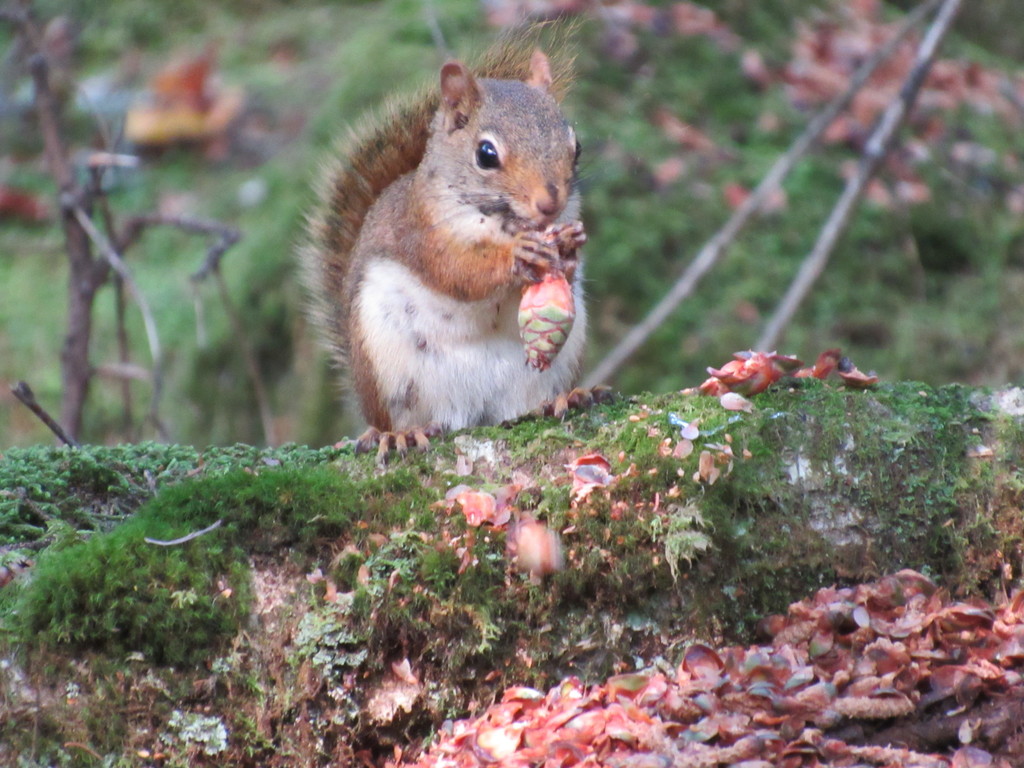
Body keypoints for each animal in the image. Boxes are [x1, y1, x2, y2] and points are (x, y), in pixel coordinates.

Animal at [301, 40, 606, 456]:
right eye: (486, 154)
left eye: (576, 147)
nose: (550, 204)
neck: (502, 225)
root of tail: (473, 413)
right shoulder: (423, 234)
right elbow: (458, 273)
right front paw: (517, 257)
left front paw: (570, 246)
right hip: (386, 368)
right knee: (397, 418)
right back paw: (400, 434)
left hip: (557, 362)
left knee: (530, 401)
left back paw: (562, 399)